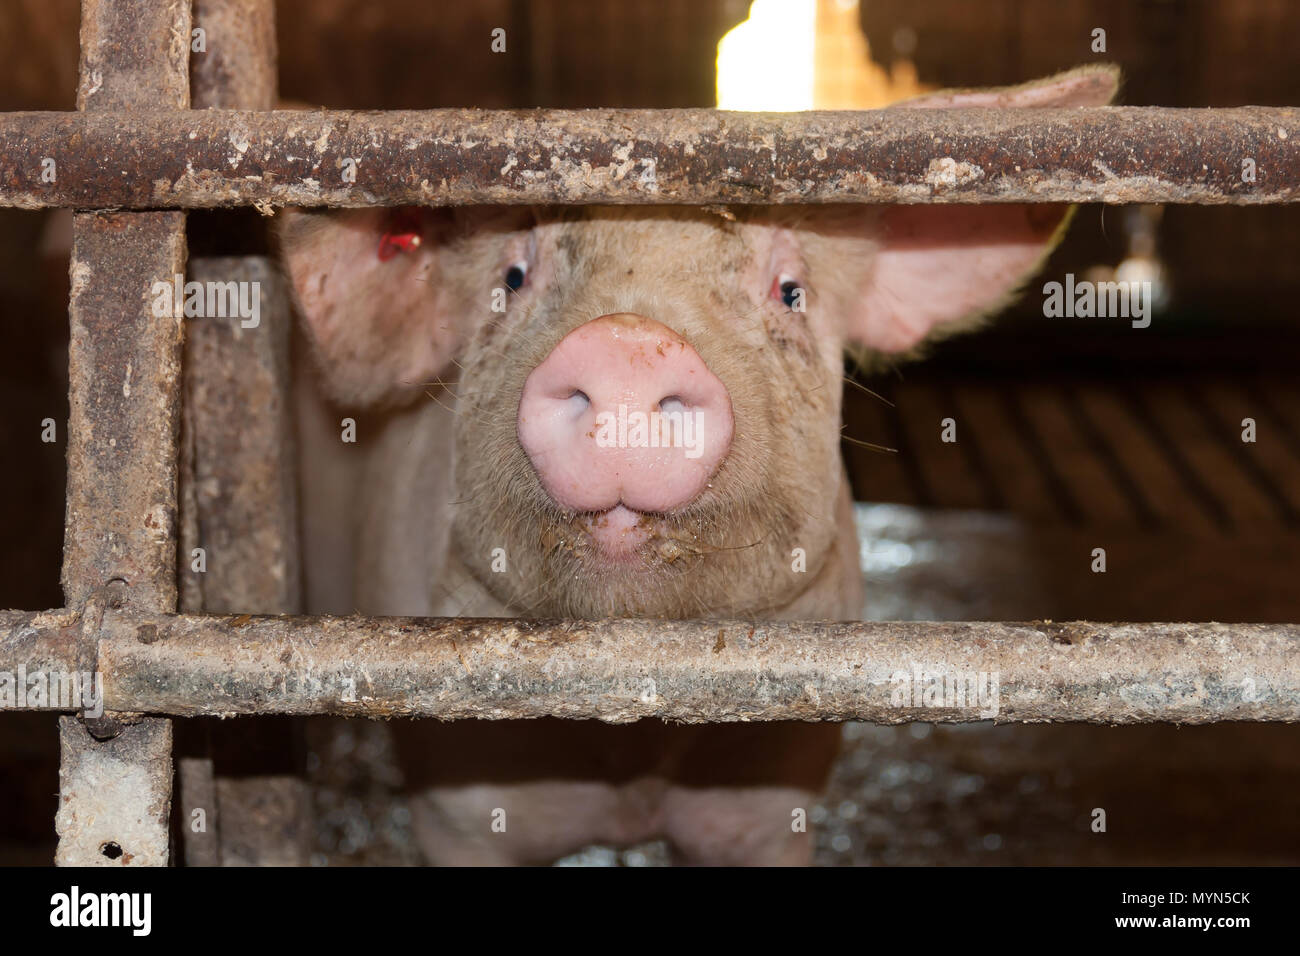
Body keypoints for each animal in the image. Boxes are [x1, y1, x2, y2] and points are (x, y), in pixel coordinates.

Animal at [278, 67, 1118, 865]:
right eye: (511, 280)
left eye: (791, 291)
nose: (625, 344)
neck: (633, 759)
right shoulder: (454, 808)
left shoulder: (772, 800)